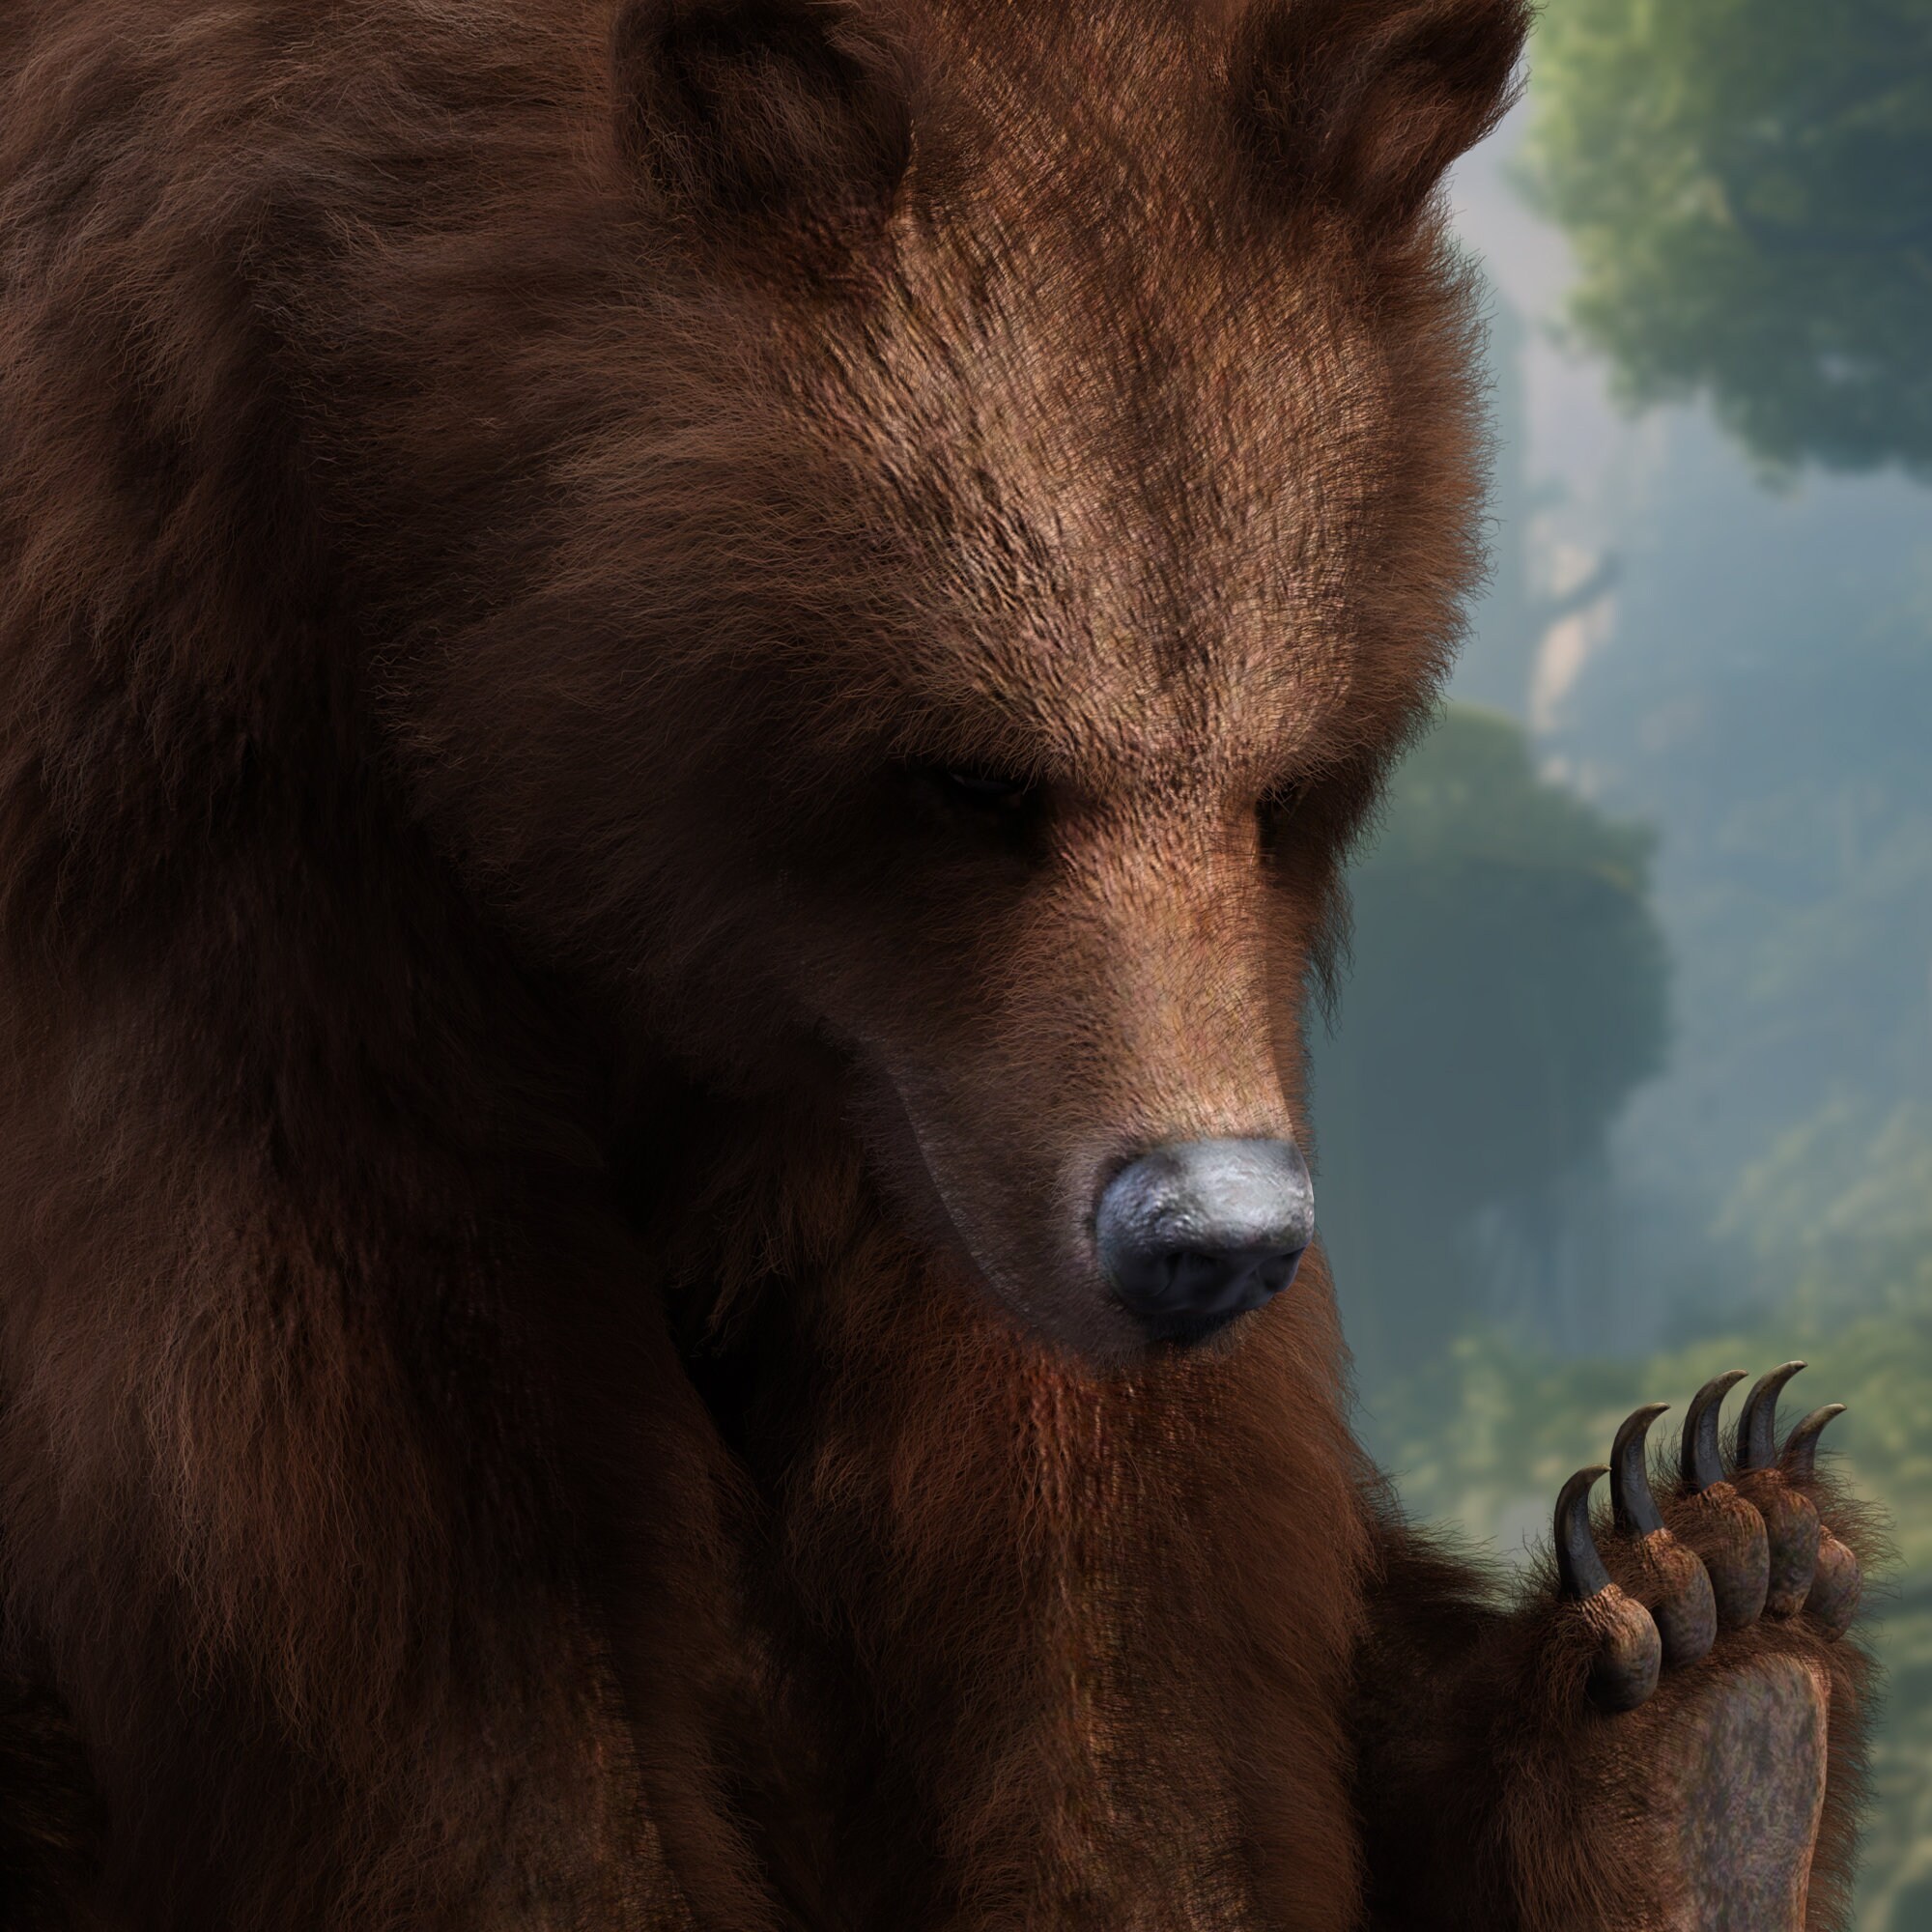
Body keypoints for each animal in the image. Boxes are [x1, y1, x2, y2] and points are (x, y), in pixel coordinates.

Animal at [0, 0, 1875, 1927]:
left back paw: (1709, 1665)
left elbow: (1080, 1551)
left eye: (1285, 786)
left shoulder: (956, 1103)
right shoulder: (208, 822)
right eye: (970, 777)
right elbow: (397, 1485)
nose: (1210, 1236)